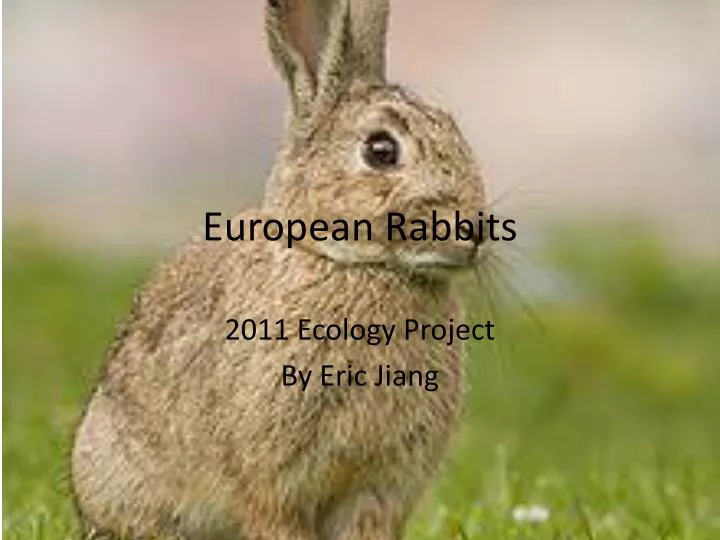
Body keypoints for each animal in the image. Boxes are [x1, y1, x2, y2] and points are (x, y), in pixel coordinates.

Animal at [71, 0, 488, 539]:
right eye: (381, 150)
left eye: (453, 128)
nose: (475, 231)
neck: (355, 263)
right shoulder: (272, 479)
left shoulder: (378, 487)